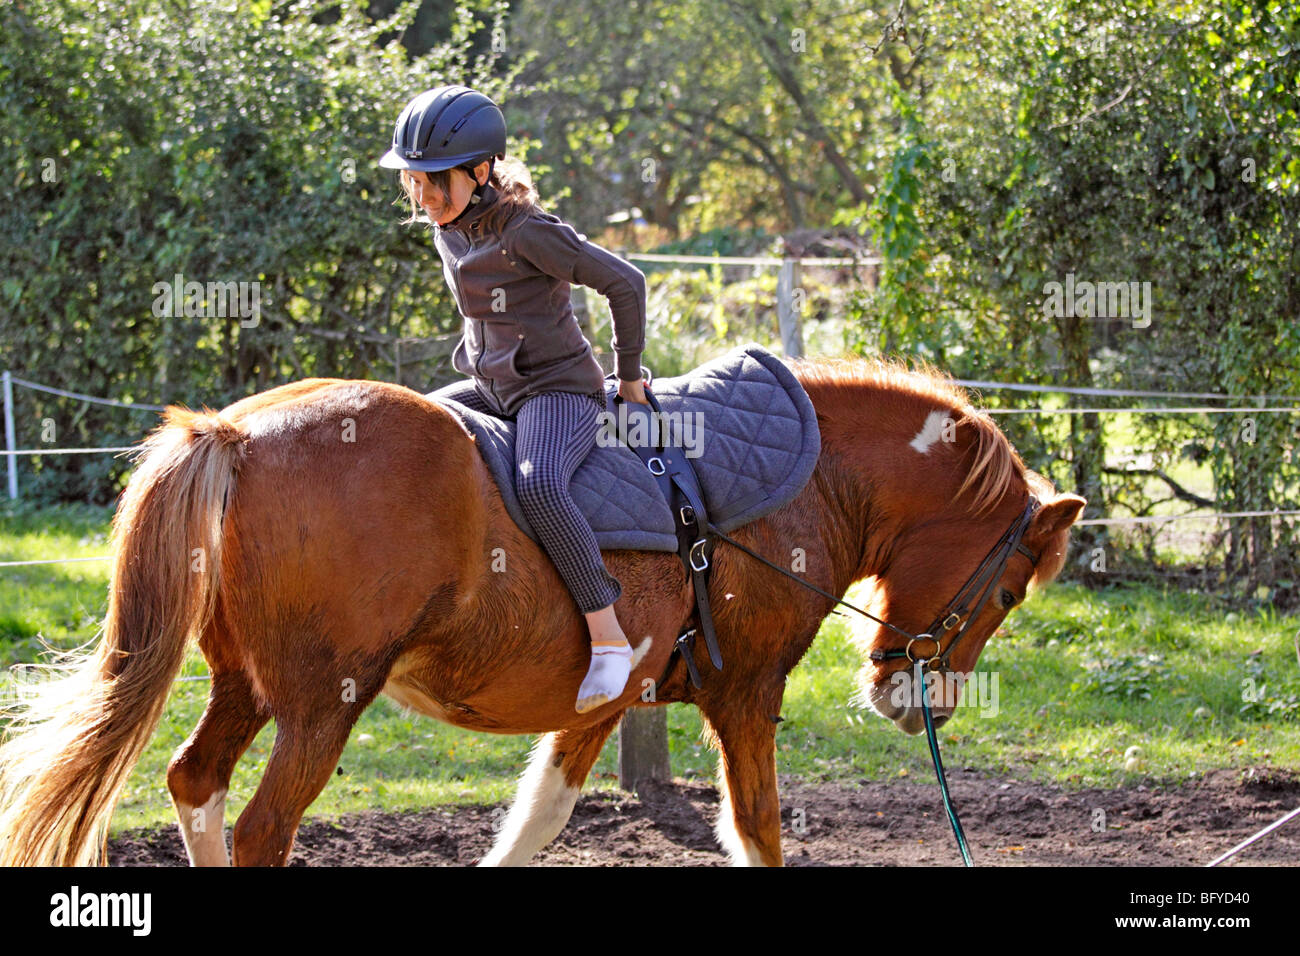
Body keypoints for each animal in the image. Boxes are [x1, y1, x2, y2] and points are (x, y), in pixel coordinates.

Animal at [0, 355, 1085, 867]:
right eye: (1008, 590)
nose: (918, 701)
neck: (798, 477)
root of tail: (233, 433)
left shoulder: (604, 701)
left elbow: (538, 817)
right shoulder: (746, 693)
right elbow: (759, 830)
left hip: (245, 686)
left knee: (196, 783)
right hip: (322, 703)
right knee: (265, 826)